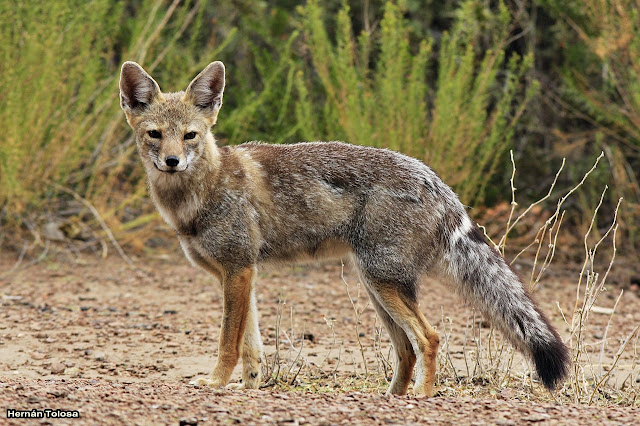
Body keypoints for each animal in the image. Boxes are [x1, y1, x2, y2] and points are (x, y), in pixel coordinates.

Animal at [119, 60, 569, 397]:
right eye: (155, 135)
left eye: (190, 136)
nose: (172, 162)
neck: (200, 193)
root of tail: (439, 184)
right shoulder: (239, 274)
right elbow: (251, 346)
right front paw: (248, 386)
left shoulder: (238, 271)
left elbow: (228, 342)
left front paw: (215, 382)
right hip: (377, 287)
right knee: (406, 349)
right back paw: (392, 396)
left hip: (383, 283)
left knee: (429, 337)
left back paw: (421, 396)